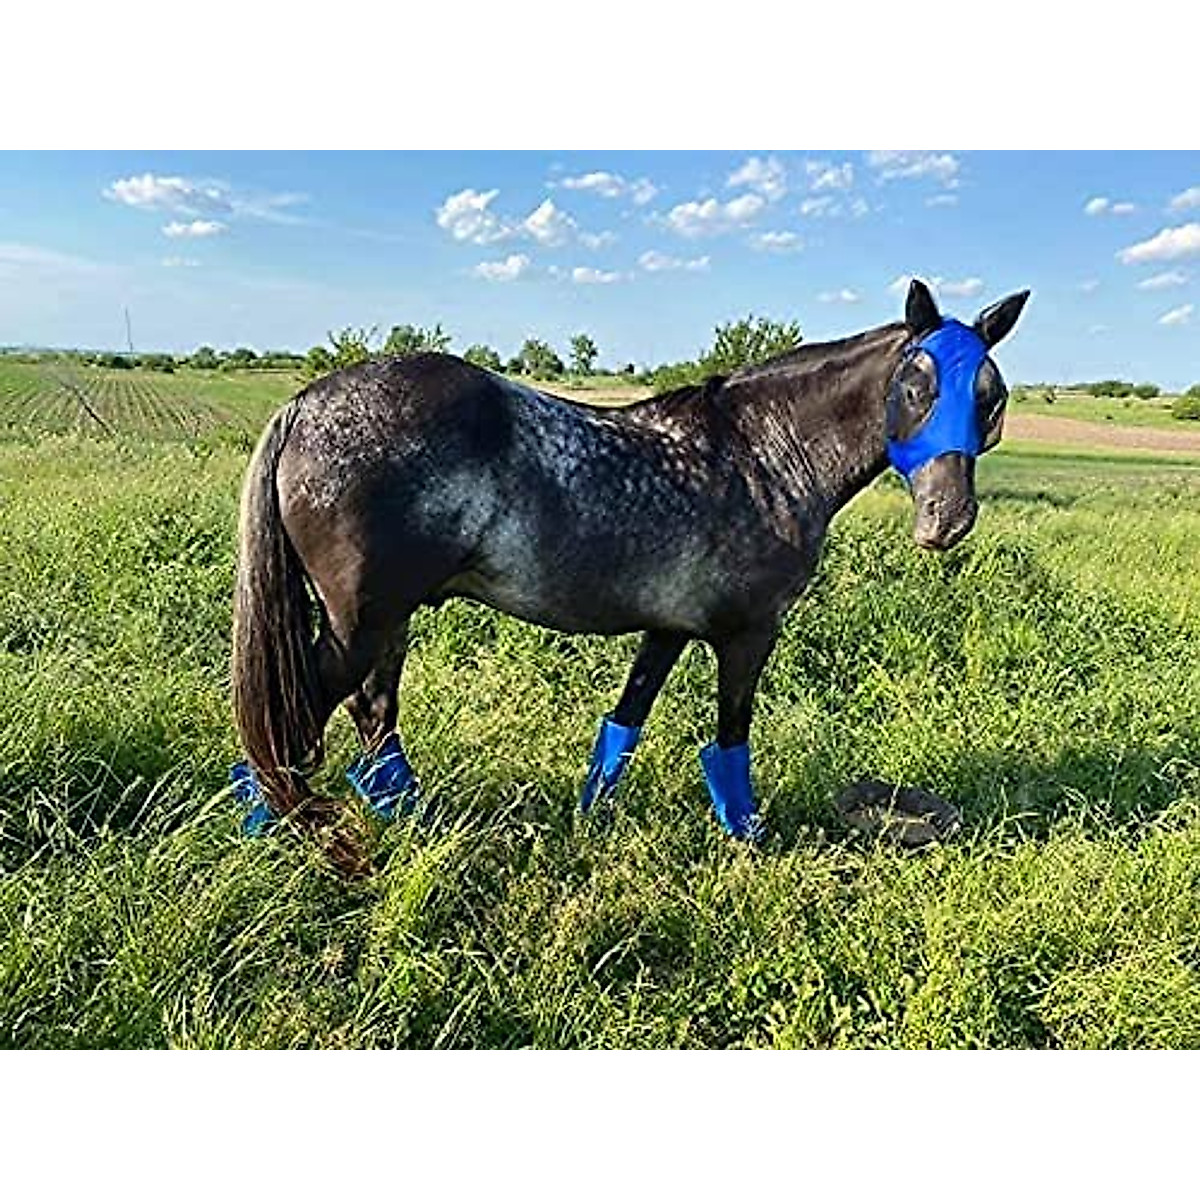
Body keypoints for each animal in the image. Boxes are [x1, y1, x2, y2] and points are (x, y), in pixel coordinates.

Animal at [230, 278, 1029, 874]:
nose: (947, 520)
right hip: (361, 621)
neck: (764, 456)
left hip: (388, 621)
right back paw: (282, 829)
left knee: (373, 716)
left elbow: (624, 723)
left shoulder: (669, 630)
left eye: (991, 398)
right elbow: (731, 739)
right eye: (917, 388)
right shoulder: (747, 636)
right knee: (294, 720)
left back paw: (406, 821)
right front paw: (747, 839)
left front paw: (591, 823)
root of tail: (306, 404)